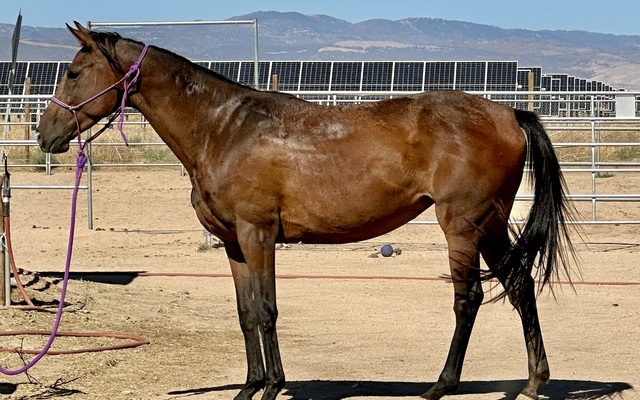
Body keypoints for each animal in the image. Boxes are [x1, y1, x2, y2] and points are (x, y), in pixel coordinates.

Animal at [36, 22, 577, 400]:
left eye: (74, 72)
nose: (46, 134)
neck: (223, 129)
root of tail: (510, 113)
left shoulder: (257, 235)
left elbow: (268, 310)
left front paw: (273, 385)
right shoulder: (234, 244)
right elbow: (246, 314)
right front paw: (250, 385)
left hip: (462, 225)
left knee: (469, 300)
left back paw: (441, 384)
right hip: (491, 225)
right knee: (520, 286)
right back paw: (534, 382)